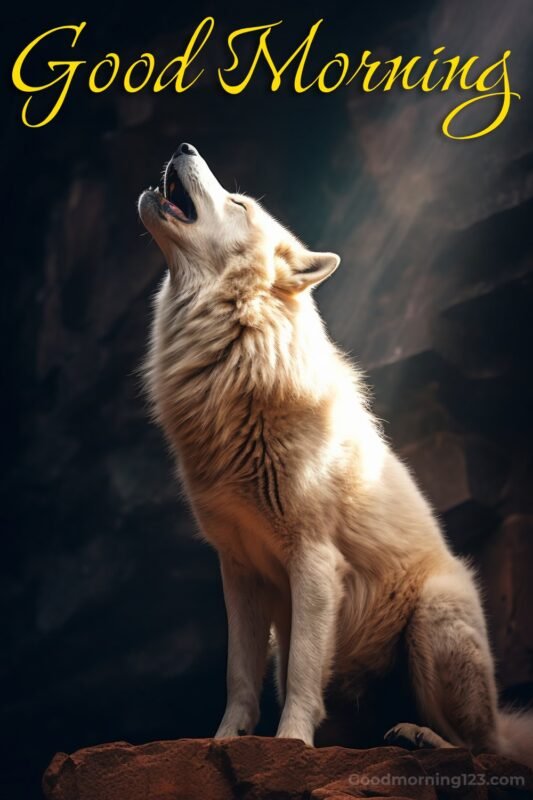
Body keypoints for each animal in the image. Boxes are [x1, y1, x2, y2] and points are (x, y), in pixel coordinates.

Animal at [138, 142, 533, 765]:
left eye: (239, 203)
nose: (185, 146)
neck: (238, 364)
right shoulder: (239, 569)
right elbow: (238, 676)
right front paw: (223, 743)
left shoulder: (315, 560)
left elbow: (302, 672)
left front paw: (292, 743)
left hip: (434, 616)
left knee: (485, 747)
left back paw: (421, 737)